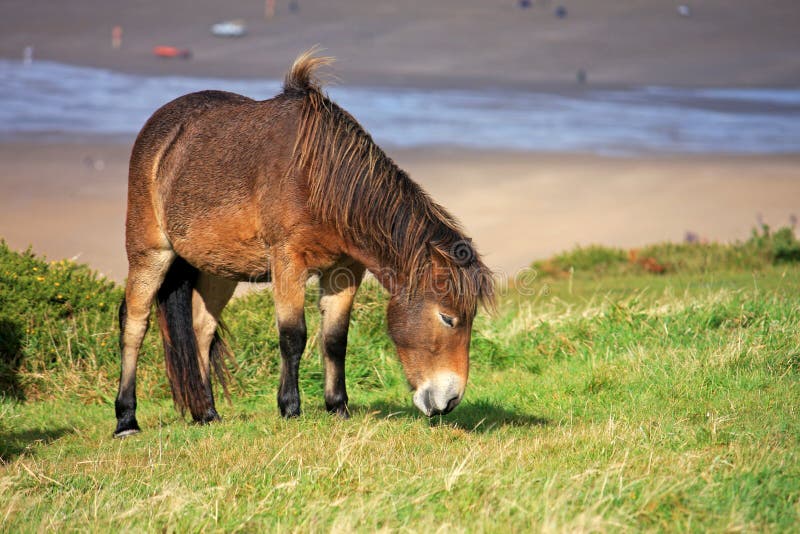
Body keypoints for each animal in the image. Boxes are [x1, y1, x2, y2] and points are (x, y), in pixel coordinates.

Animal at [113, 49, 494, 438]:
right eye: (448, 318)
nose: (450, 401)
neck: (319, 180)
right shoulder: (288, 262)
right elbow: (293, 336)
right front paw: (290, 408)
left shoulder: (345, 271)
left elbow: (335, 340)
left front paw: (338, 408)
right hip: (150, 252)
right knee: (135, 323)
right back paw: (127, 419)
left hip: (218, 270)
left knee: (201, 330)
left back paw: (207, 412)